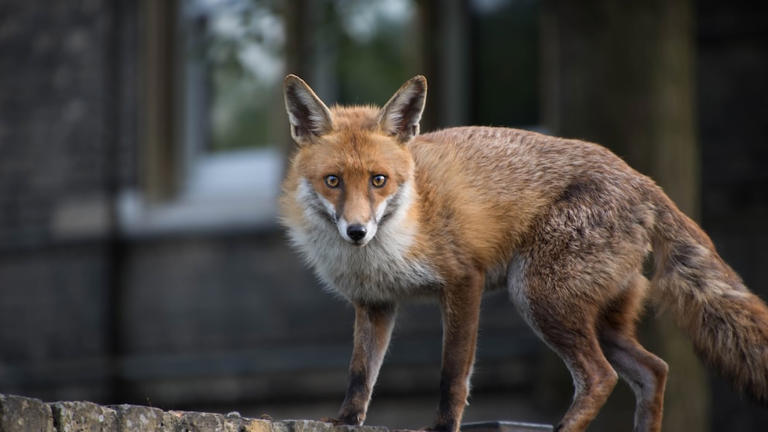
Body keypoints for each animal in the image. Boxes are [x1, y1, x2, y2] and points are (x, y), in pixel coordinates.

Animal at [278, 74, 768, 432]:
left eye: (378, 180)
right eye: (333, 181)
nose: (357, 231)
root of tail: (642, 179)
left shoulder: (465, 281)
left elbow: (453, 374)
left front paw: (443, 427)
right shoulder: (376, 304)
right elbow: (360, 373)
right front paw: (345, 421)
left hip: (537, 295)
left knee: (601, 376)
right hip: (594, 316)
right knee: (654, 370)